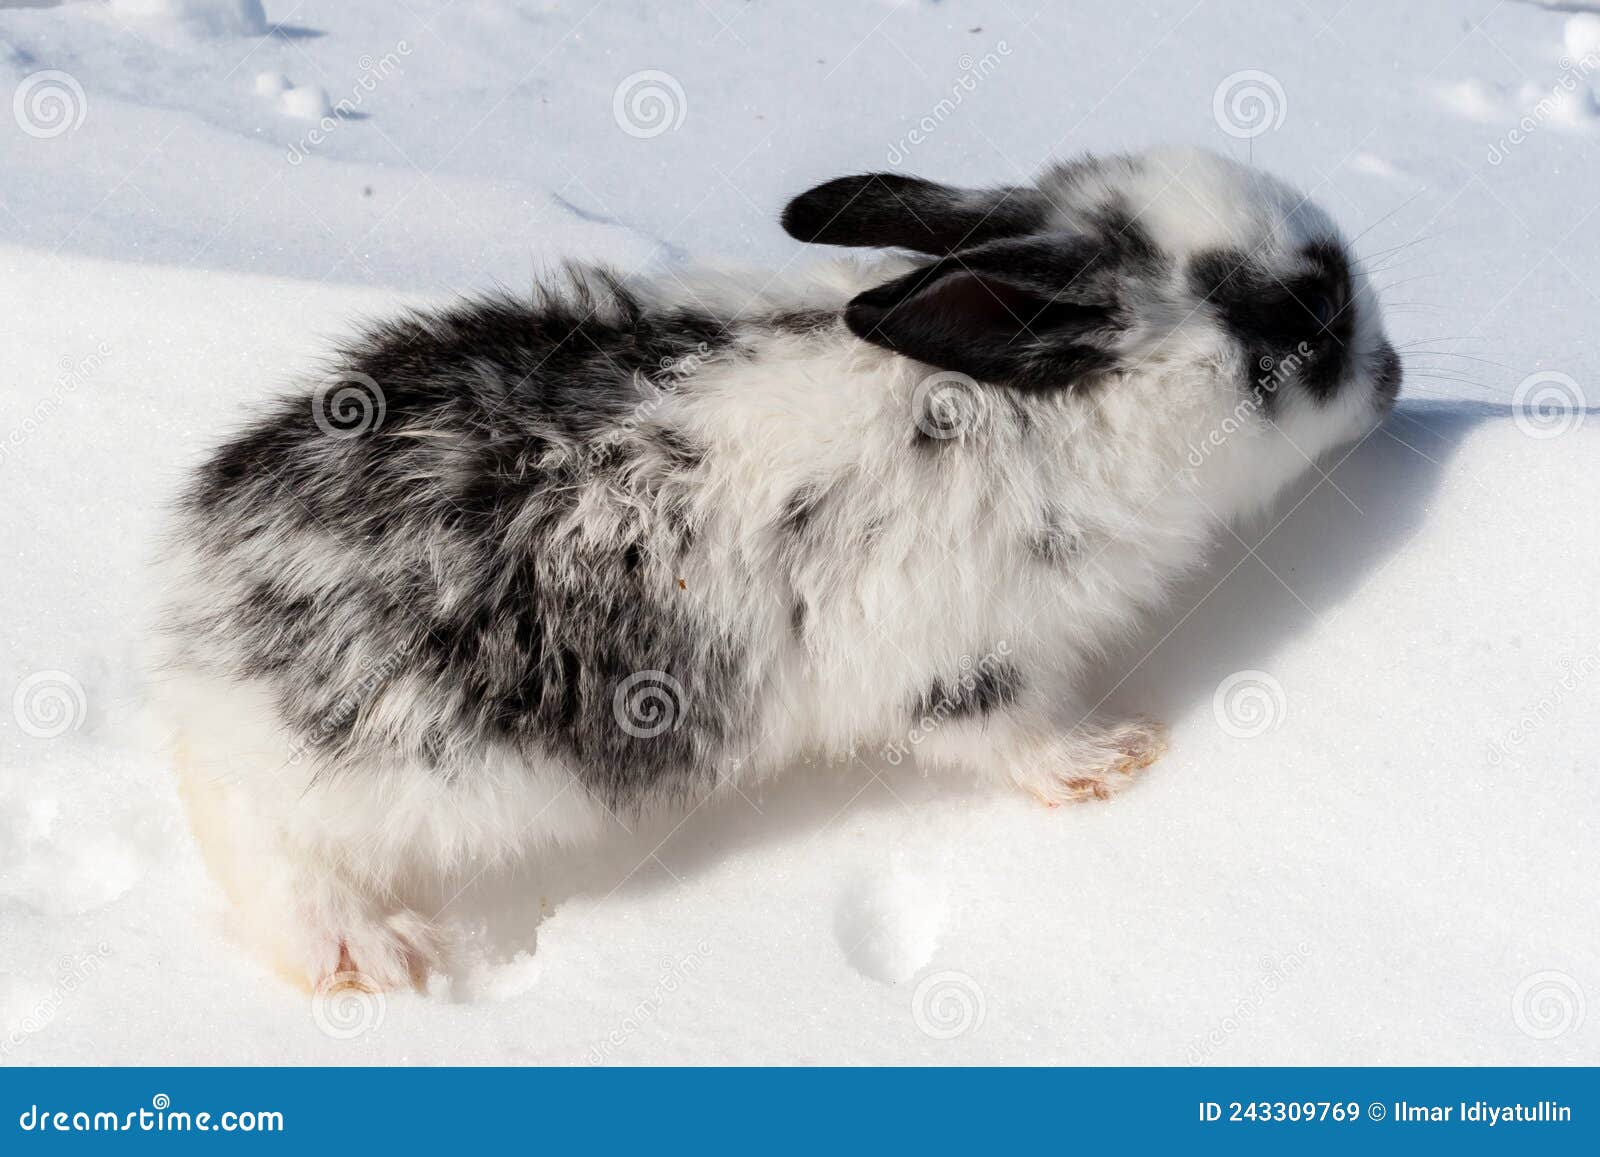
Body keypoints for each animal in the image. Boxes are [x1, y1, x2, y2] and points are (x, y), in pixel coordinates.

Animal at [156, 145, 1401, 990]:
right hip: (389, 768)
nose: (1390, 376)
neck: (1044, 410)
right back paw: (371, 954)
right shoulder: (960, 661)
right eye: (1305, 314)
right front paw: (1113, 758)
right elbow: (1007, 733)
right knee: (260, 828)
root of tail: (206, 609)